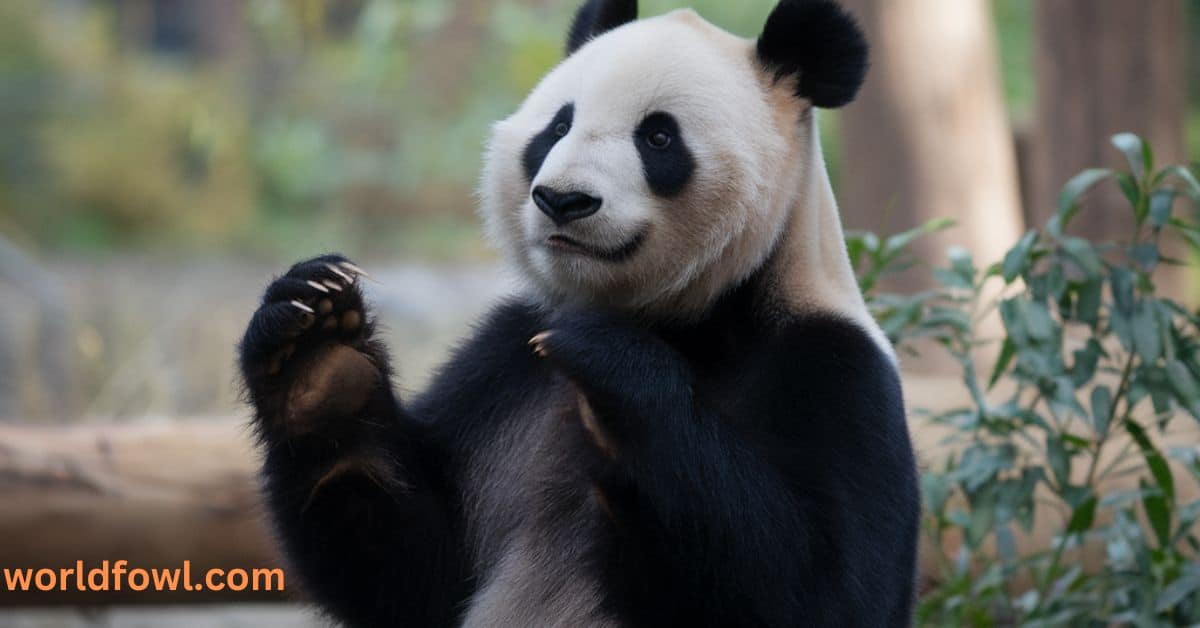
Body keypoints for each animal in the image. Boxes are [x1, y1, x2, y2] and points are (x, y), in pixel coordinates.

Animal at [238, 0, 919, 626]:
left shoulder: (832, 374)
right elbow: (417, 574)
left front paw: (609, 363)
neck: (685, 317)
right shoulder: (503, 366)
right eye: (558, 126)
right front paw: (318, 358)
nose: (563, 200)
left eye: (658, 137)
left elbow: (824, 591)